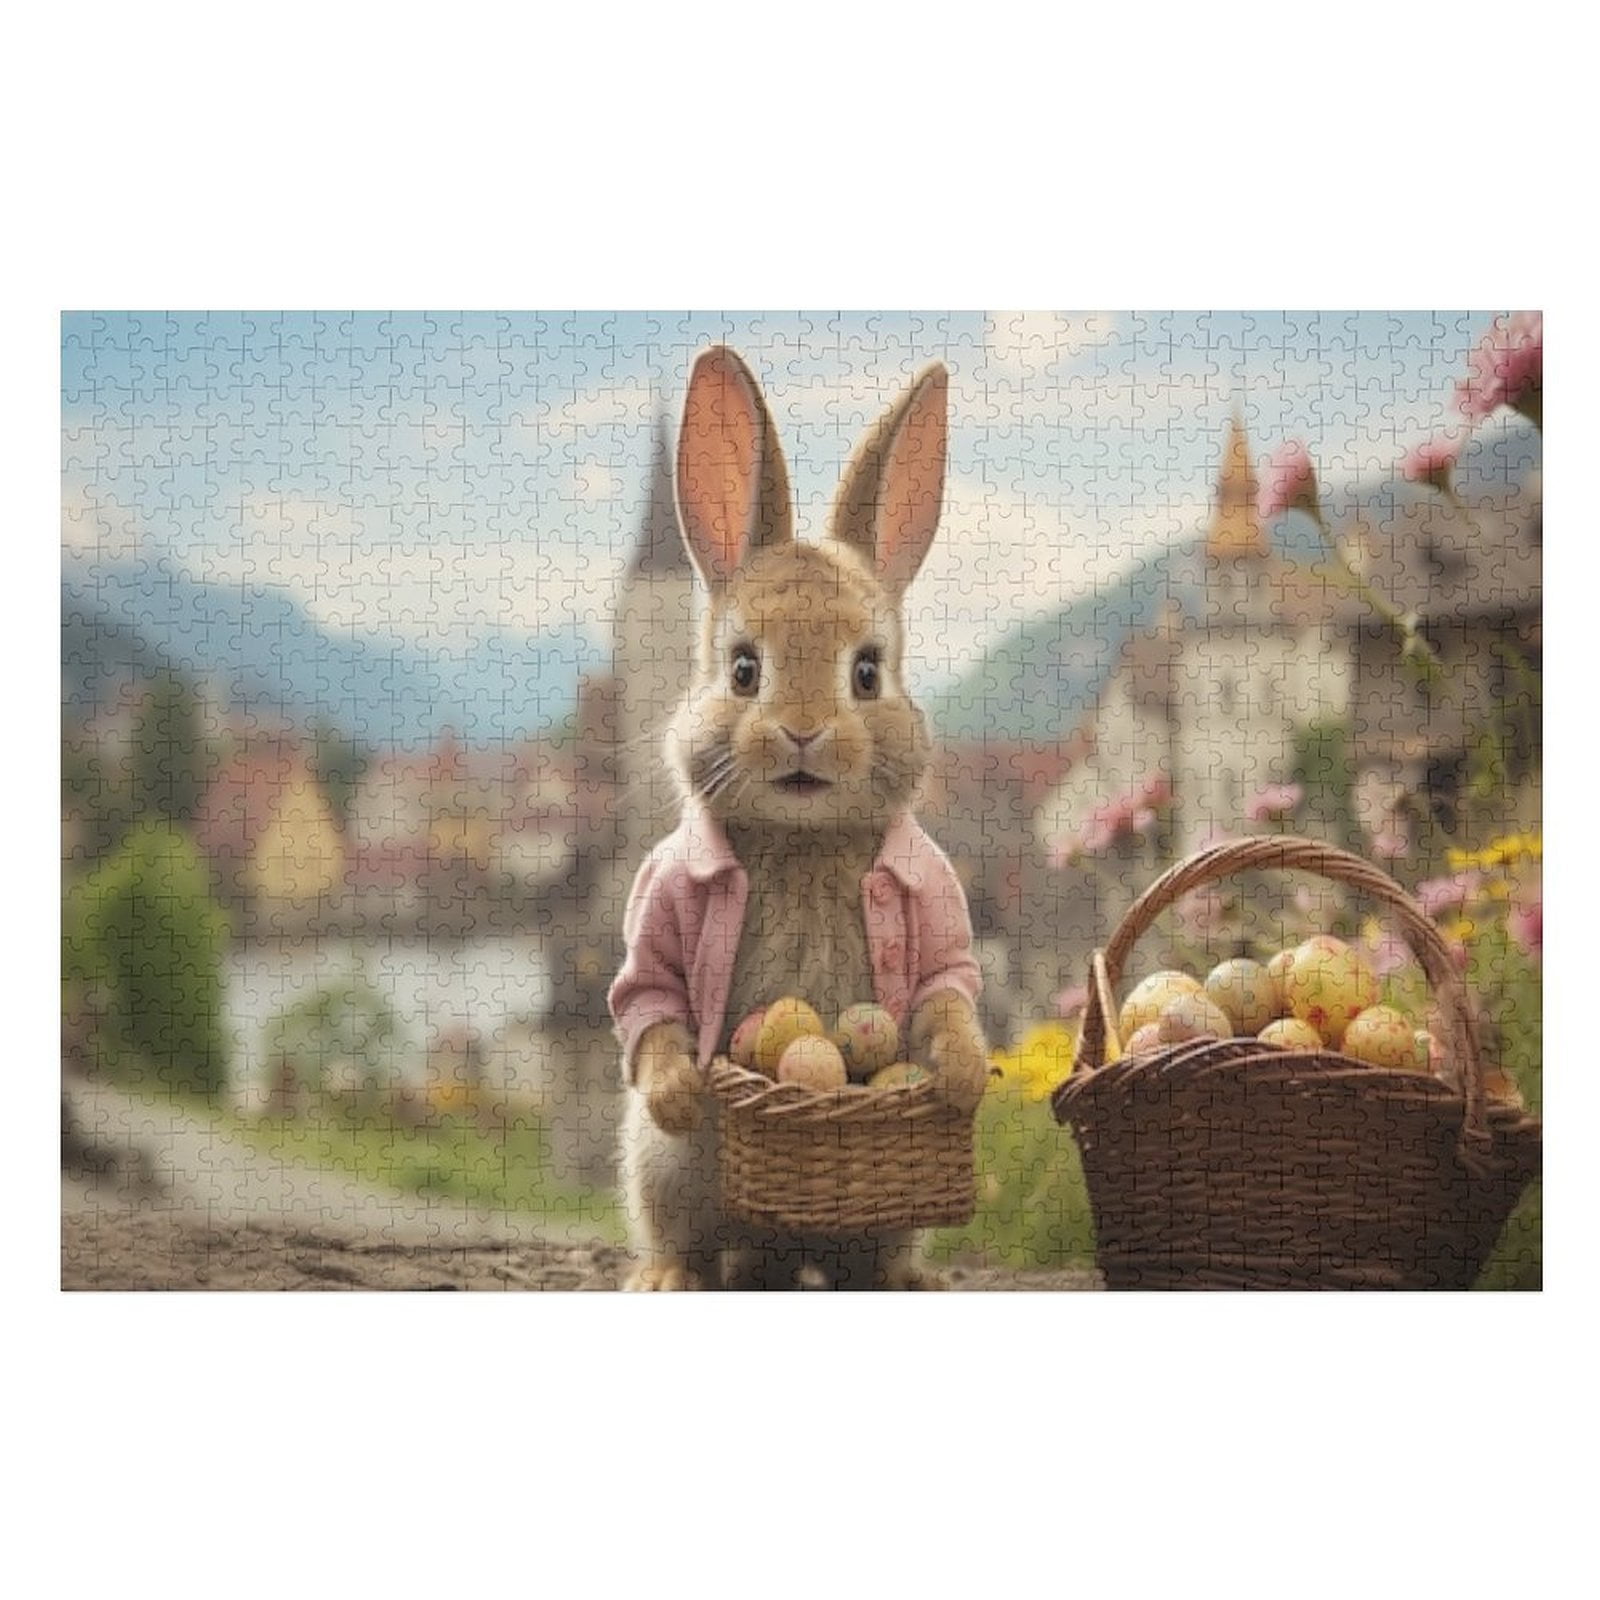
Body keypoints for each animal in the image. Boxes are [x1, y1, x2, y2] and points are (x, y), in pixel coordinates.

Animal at [609, 345, 989, 1290]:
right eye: (744, 669)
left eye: (867, 671)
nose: (805, 731)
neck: (805, 838)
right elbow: (649, 993)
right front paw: (678, 1088)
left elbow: (949, 989)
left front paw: (966, 1077)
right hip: (664, 1173)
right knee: (690, 1236)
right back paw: (673, 1275)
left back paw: (901, 1277)